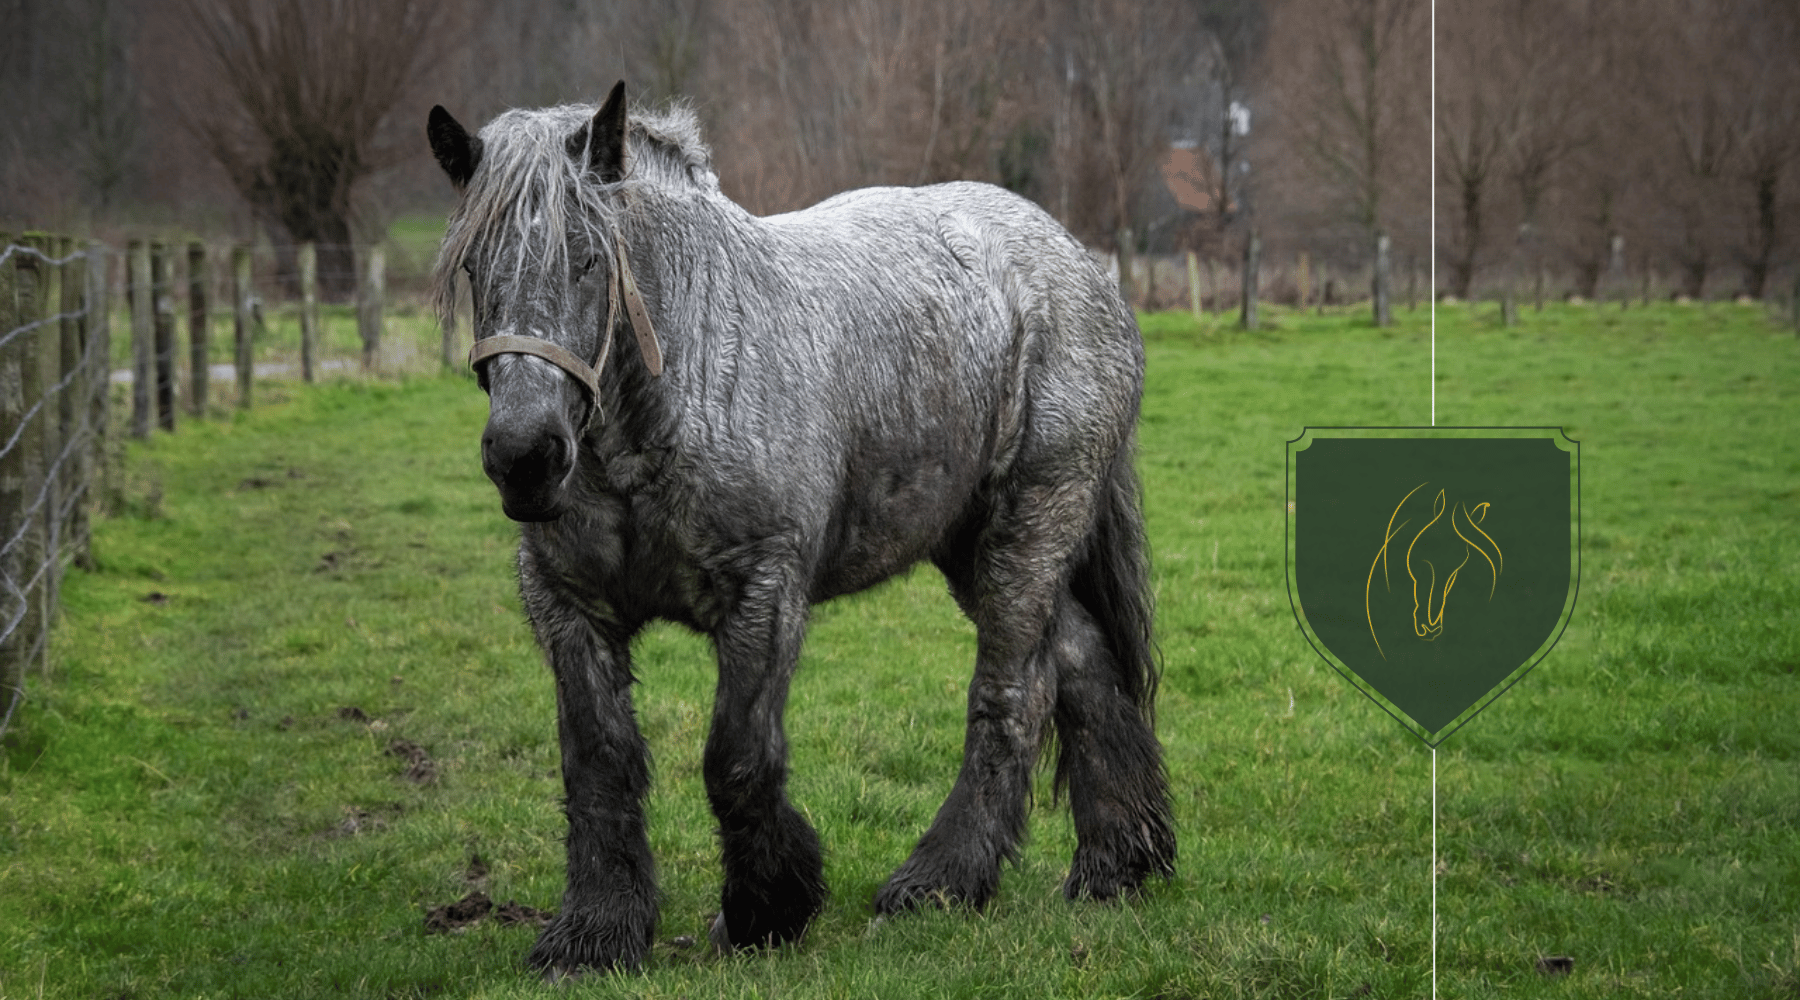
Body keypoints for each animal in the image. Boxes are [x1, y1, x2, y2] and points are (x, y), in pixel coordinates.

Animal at [427, 81, 1174, 977]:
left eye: (589, 258)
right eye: (476, 266)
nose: (526, 456)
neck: (686, 380)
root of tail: (1076, 261)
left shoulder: (765, 595)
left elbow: (737, 757)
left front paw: (764, 910)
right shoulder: (568, 608)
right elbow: (598, 758)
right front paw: (596, 930)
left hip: (1029, 528)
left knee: (1014, 693)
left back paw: (941, 882)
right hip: (975, 544)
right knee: (1084, 663)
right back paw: (1116, 864)